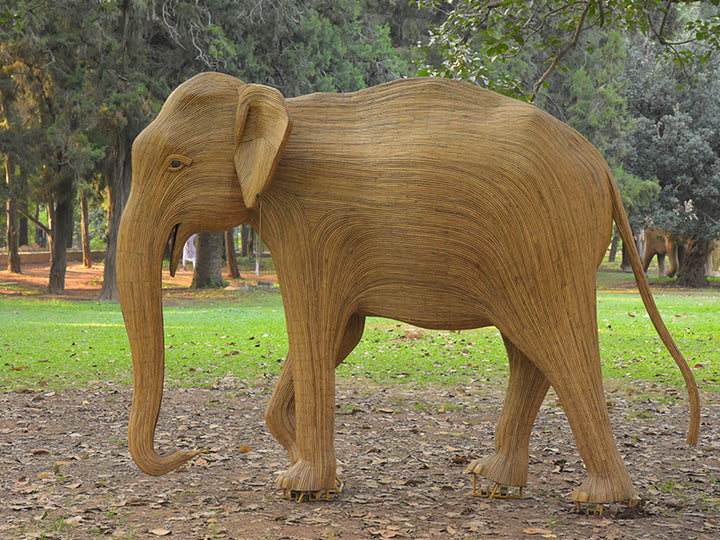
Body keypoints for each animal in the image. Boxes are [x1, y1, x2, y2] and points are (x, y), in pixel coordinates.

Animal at [117, 73, 700, 507]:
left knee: (559, 345)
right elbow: (341, 335)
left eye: (176, 163)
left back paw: (601, 501)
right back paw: (492, 483)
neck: (278, 107)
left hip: (544, 241)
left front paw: (301, 488)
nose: (190, 455)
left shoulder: (310, 224)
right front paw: (302, 460)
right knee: (530, 353)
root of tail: (603, 166)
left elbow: (314, 326)